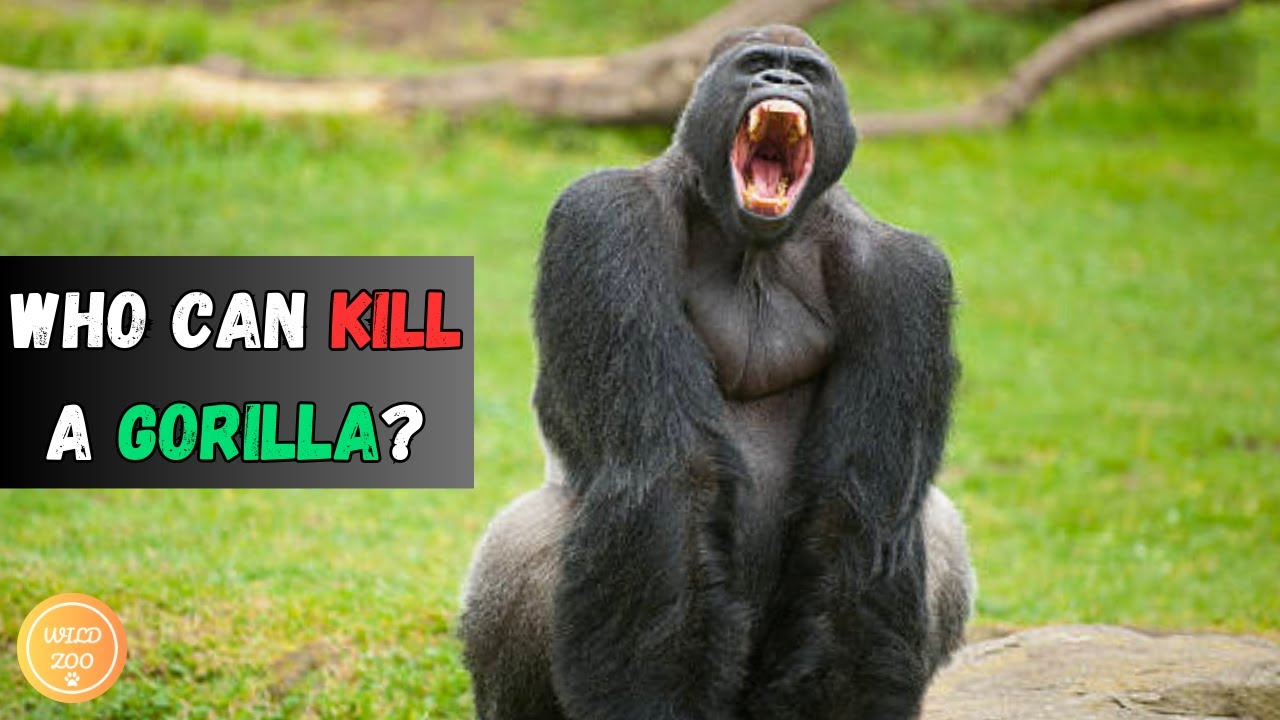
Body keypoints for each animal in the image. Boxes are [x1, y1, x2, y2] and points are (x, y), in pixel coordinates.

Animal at [460, 24, 975, 720]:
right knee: (527, 534)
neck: (755, 246)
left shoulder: (907, 275)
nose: (782, 83)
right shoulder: (606, 217)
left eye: (808, 73)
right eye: (756, 65)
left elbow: (855, 512)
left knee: (935, 526)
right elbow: (675, 476)